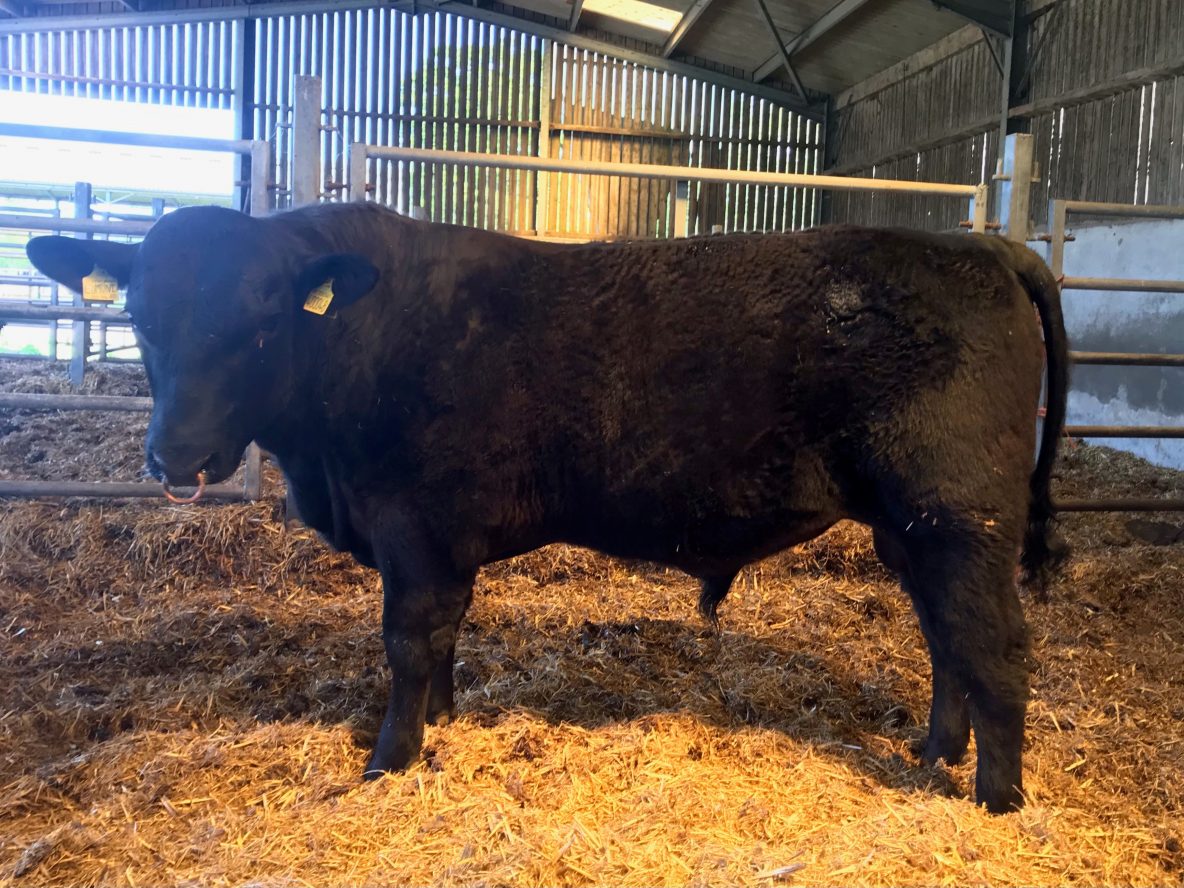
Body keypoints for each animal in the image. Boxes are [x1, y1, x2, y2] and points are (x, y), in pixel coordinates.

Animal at [26, 202, 1068, 814]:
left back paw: (996, 799)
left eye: (259, 324)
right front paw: (443, 722)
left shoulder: (414, 525)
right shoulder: (438, 543)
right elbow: (443, 639)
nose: (177, 456)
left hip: (959, 515)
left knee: (995, 651)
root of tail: (975, 242)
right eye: (140, 320)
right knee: (946, 642)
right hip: (914, 529)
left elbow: (408, 641)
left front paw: (391, 759)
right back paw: (933, 754)